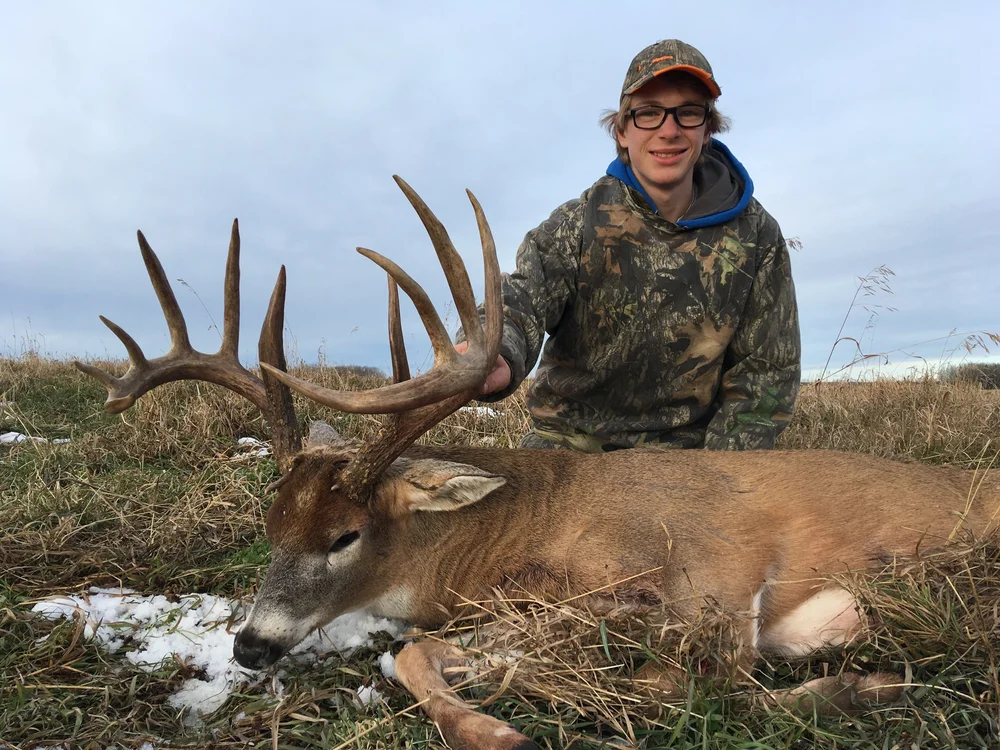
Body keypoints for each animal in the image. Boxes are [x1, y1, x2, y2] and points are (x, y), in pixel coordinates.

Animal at [75, 176, 1000, 750]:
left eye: (344, 535)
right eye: (270, 524)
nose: (251, 644)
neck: (525, 527)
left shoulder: (710, 576)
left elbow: (676, 681)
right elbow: (415, 654)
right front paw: (492, 727)